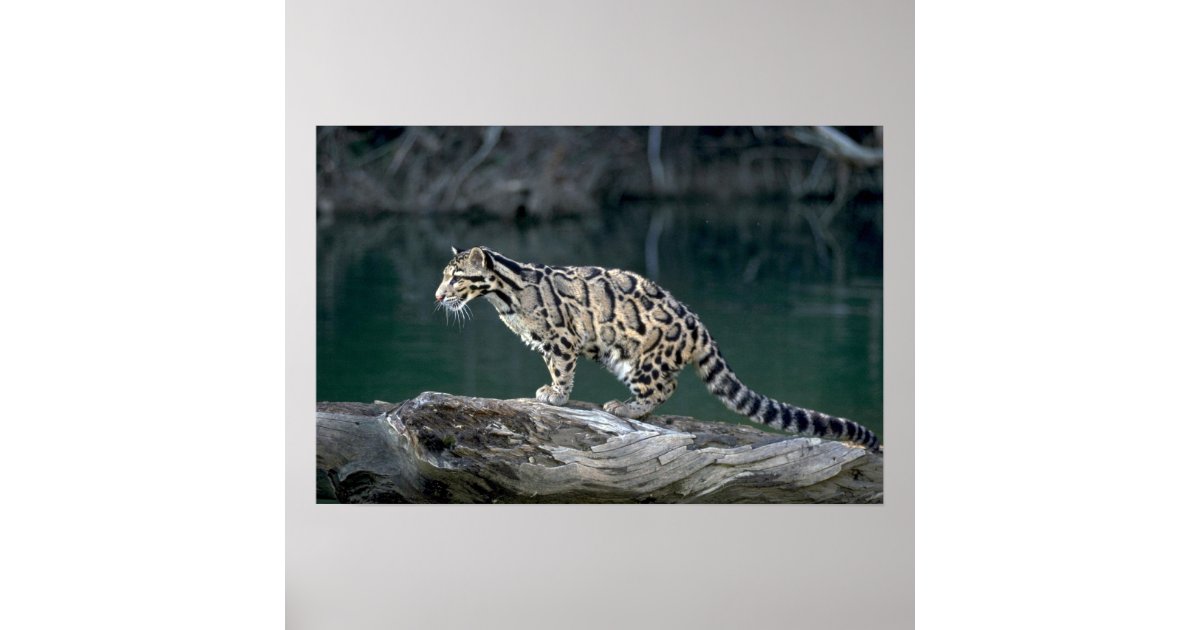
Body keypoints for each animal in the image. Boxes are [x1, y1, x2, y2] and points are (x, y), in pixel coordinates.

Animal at [434, 246, 880, 451]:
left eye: (456, 277)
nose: (438, 296)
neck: (504, 297)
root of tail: (698, 325)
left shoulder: (562, 338)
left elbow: (561, 369)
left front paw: (555, 395)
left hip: (640, 359)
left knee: (664, 388)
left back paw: (627, 407)